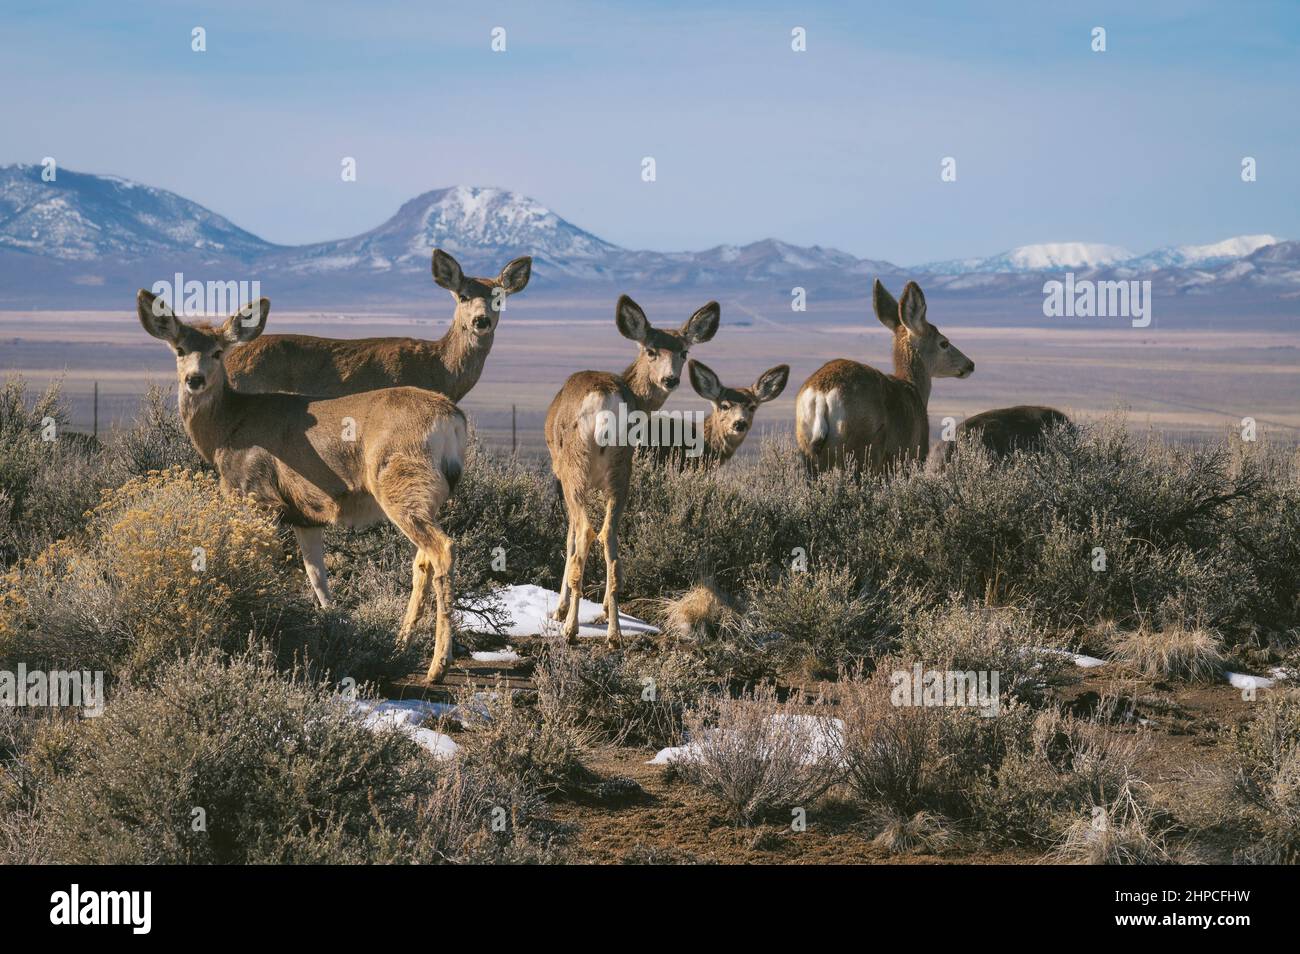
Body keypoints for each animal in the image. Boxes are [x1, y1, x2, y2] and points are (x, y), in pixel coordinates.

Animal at [136, 289, 467, 683]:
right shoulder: (304, 516)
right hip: (427, 494)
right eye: (180, 349)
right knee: (422, 559)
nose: (195, 379)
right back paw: (402, 644)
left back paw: (437, 666)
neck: (226, 429)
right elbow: (317, 578)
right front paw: (336, 628)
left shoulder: (257, 495)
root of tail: (451, 419)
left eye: (218, 352)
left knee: (442, 549)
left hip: (402, 483)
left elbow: (263, 566)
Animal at [545, 295, 720, 643]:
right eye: (651, 350)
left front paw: (559, 609)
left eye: (684, 352)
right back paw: (613, 633)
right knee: (609, 538)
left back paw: (571, 628)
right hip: (621, 468)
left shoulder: (564, 476)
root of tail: (604, 402)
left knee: (584, 533)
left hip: (575, 469)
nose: (670, 379)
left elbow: (568, 537)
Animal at [796, 279, 974, 473]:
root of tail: (822, 394)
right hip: (864, 449)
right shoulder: (914, 454)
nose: (970, 364)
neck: (914, 388)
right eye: (944, 343)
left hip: (807, 448)